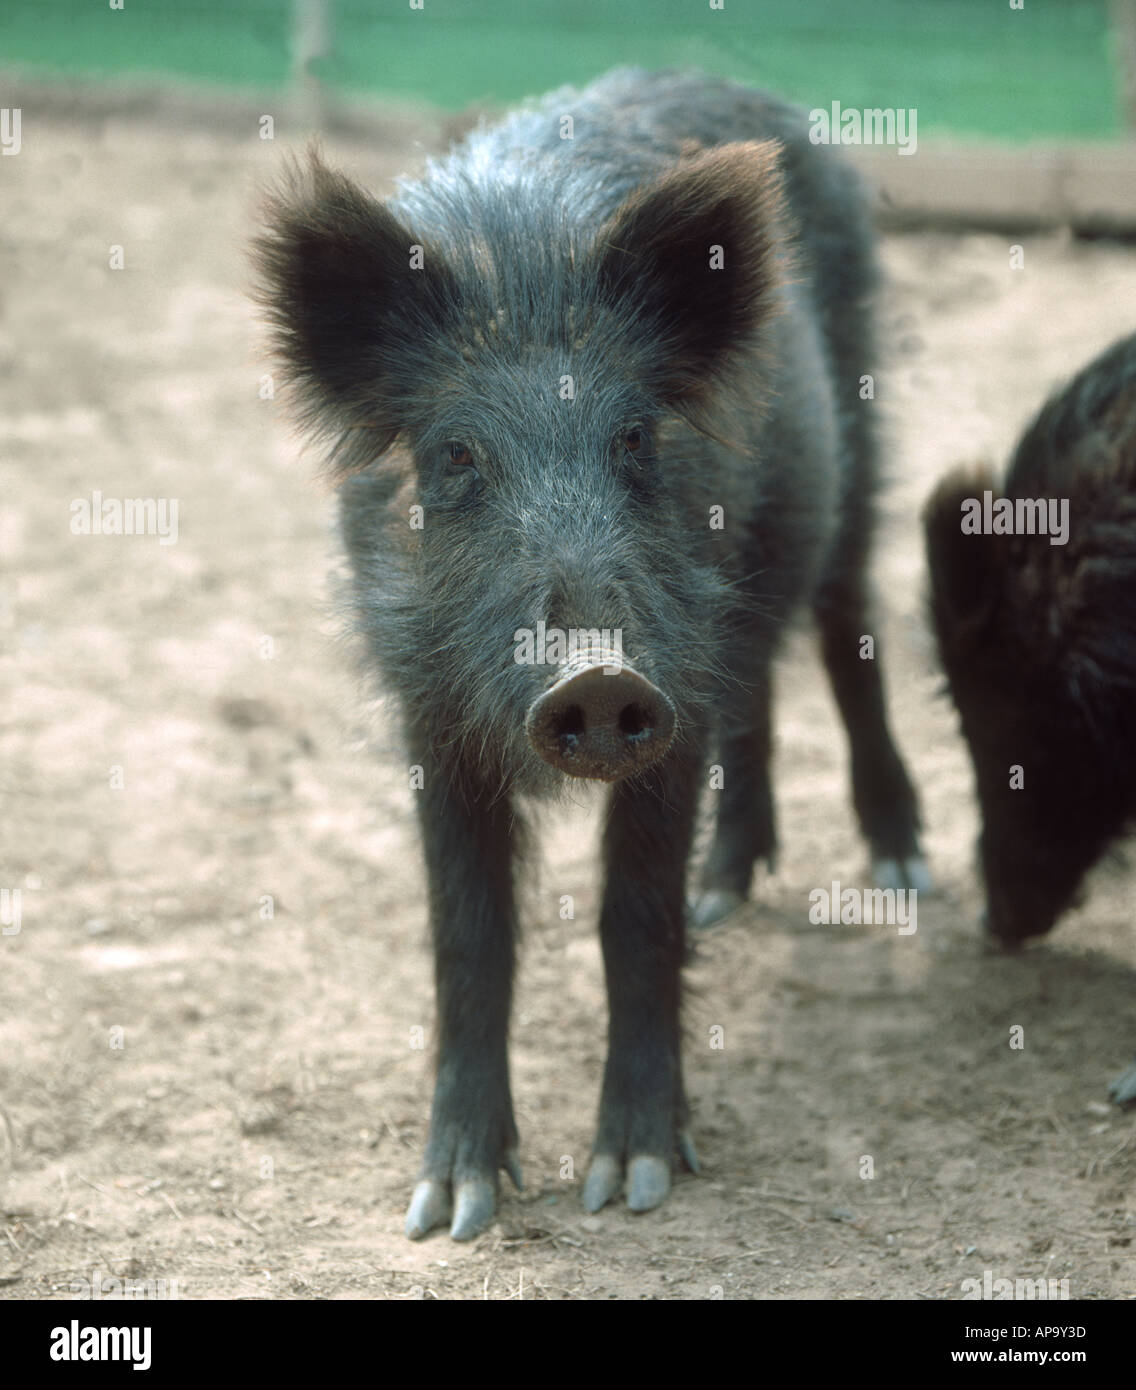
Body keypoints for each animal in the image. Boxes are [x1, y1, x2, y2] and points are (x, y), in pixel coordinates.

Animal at [255, 67, 925, 1240]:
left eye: (634, 438)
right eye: (455, 455)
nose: (598, 672)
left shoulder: (670, 696)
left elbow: (634, 914)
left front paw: (635, 1184)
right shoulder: (428, 706)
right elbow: (468, 931)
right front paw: (451, 1209)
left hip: (850, 454)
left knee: (849, 628)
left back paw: (900, 871)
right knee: (757, 685)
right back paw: (726, 892)